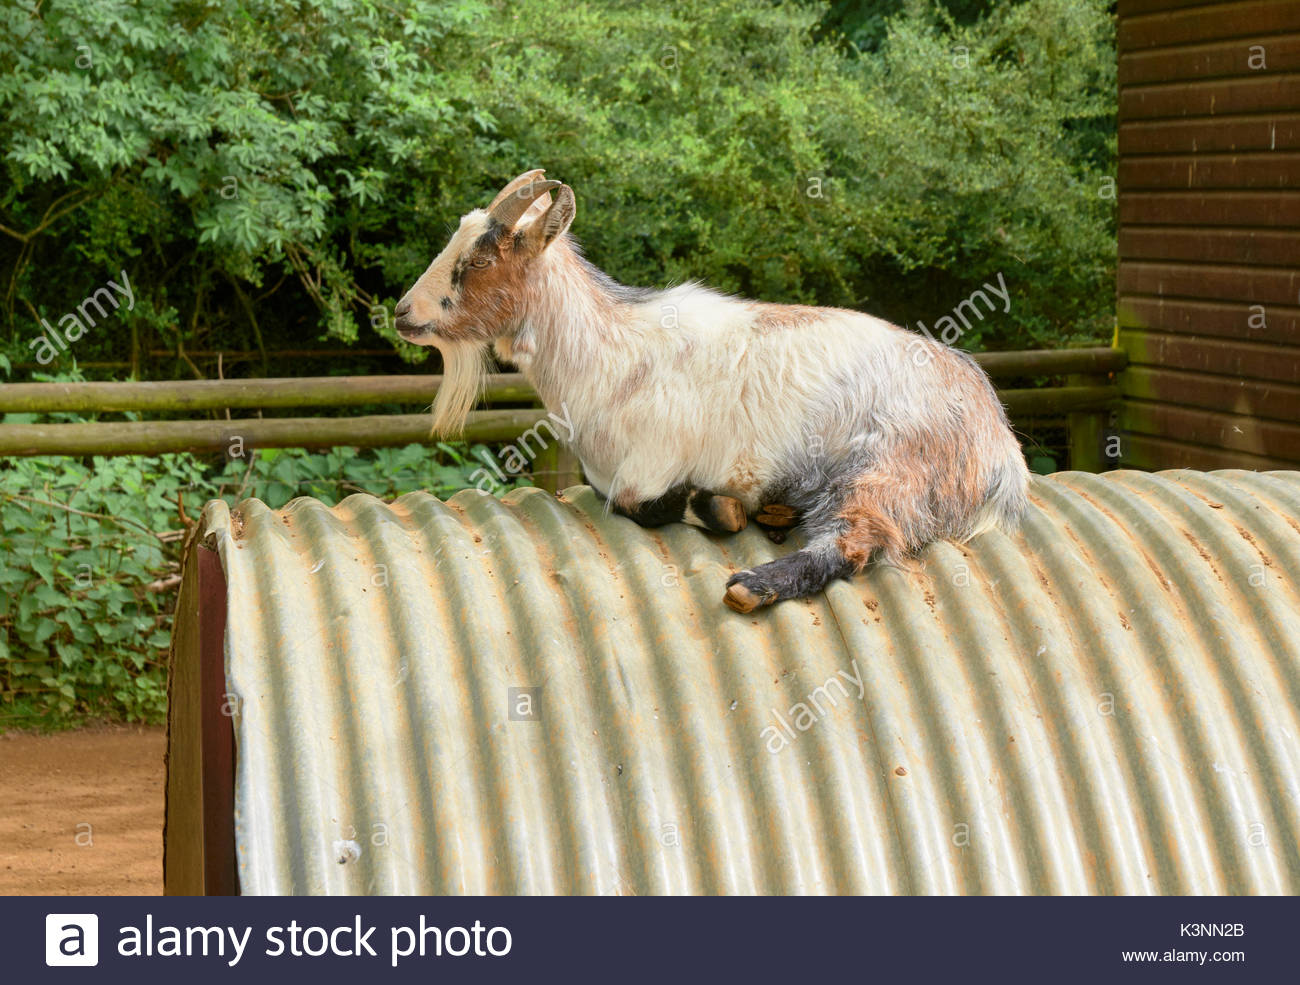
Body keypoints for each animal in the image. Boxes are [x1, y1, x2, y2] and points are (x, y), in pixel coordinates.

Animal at [394, 169, 1030, 613]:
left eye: (479, 259)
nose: (403, 313)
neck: (614, 356)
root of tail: (999, 438)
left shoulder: (648, 466)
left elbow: (639, 503)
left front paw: (717, 506)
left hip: (889, 463)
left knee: (856, 540)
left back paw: (752, 584)